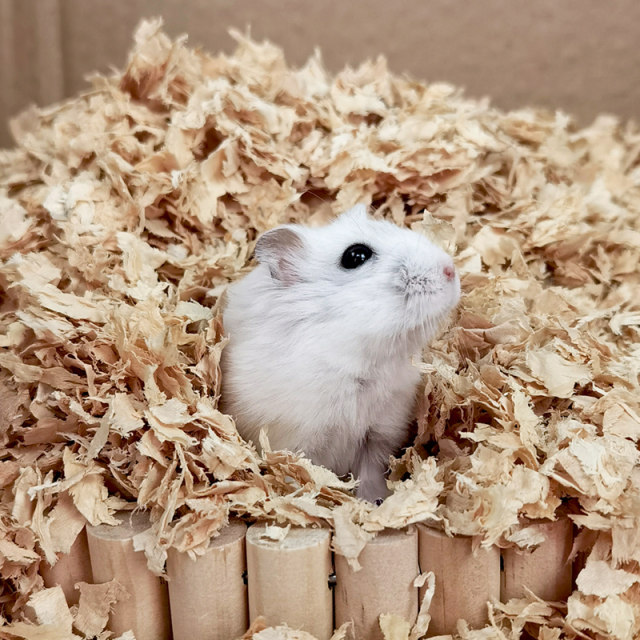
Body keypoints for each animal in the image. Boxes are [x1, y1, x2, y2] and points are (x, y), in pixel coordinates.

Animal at [221, 204, 460, 501]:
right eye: (356, 256)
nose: (450, 270)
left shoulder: (379, 435)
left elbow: (370, 474)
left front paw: (373, 501)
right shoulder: (294, 442)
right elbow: (297, 476)